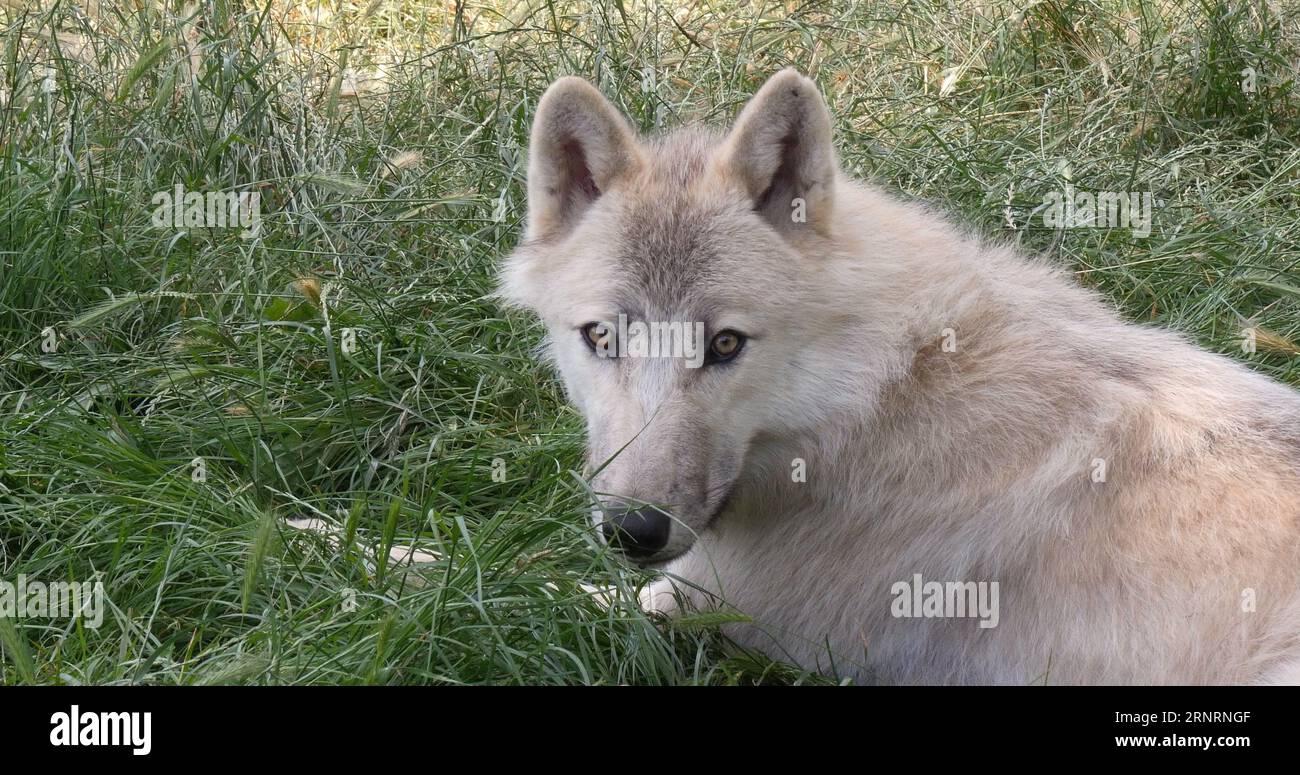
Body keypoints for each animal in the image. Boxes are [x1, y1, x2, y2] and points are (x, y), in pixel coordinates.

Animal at [497, 69, 1300, 684]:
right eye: (600, 336)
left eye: (725, 343)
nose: (631, 530)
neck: (883, 389)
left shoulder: (696, 610)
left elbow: (519, 592)